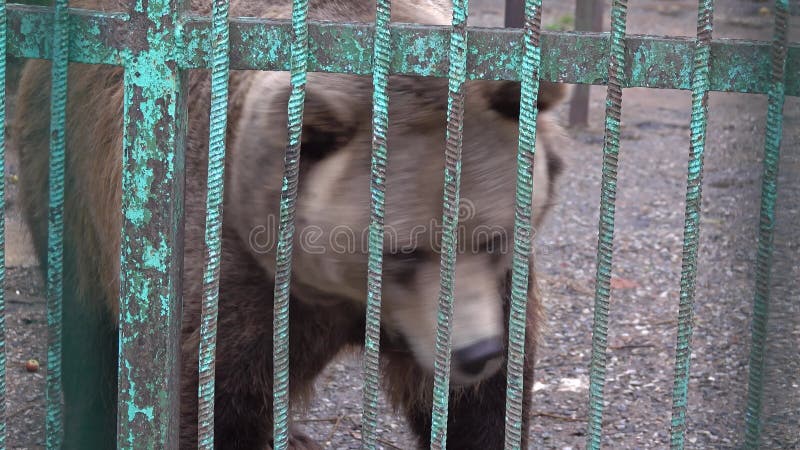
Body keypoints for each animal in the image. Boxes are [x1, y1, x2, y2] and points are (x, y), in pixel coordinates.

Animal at [11, 0, 566, 448]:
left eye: (495, 237)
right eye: (401, 251)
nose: (475, 352)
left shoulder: (496, 290)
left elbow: (481, 405)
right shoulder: (234, 274)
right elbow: (217, 399)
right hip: (70, 177)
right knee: (88, 329)